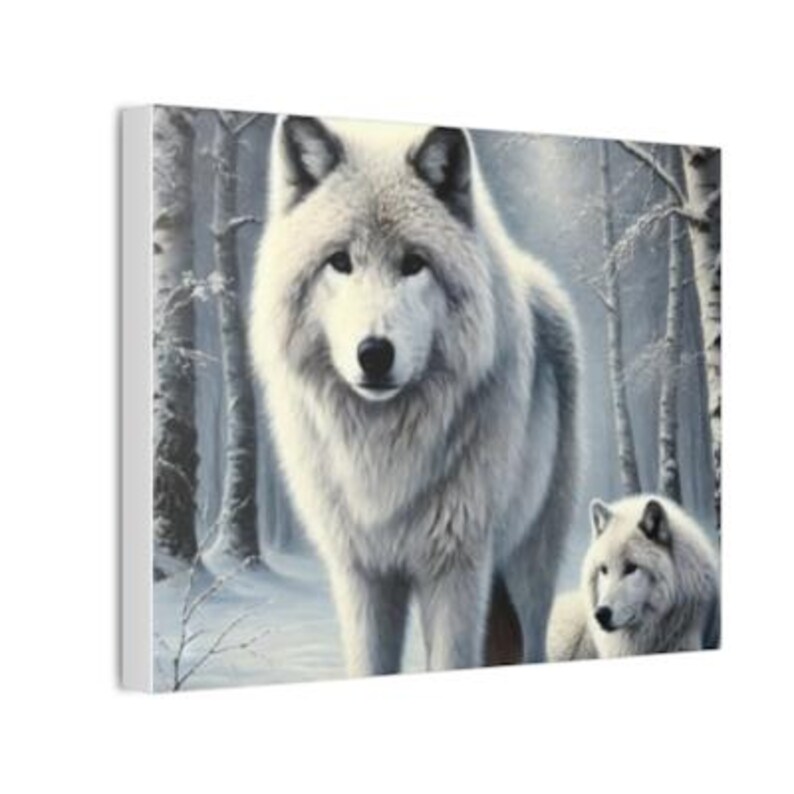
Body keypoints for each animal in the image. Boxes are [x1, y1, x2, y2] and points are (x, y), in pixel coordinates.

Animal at [250, 116, 581, 676]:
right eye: (340, 262)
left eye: (413, 264)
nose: (374, 353)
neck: (382, 451)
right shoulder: (361, 573)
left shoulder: (456, 568)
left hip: (529, 563)